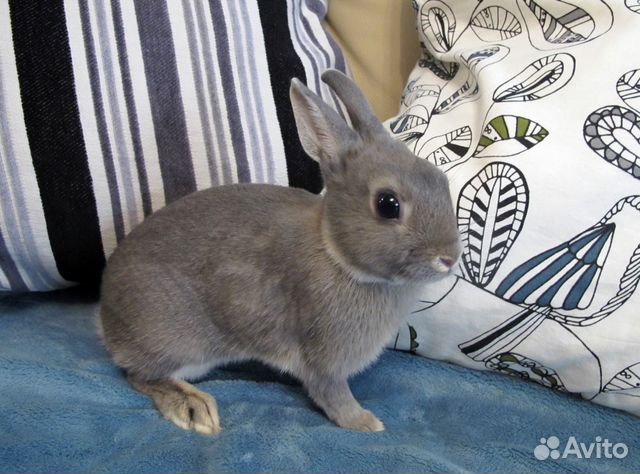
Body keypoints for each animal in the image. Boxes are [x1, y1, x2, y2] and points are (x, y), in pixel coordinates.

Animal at [99, 69, 461, 435]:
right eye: (388, 204)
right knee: (140, 375)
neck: (337, 254)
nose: (449, 258)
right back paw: (193, 408)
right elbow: (332, 394)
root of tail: (106, 317)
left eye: (441, 180)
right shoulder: (324, 358)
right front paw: (364, 422)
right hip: (178, 343)